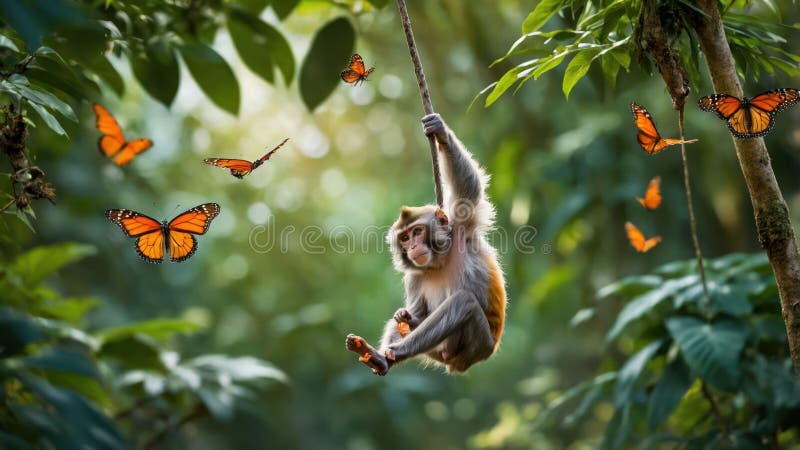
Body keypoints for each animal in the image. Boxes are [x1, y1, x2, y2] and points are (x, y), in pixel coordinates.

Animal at [345, 113, 506, 375]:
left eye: (417, 232)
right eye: (404, 238)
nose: (412, 247)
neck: (439, 261)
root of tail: (458, 365)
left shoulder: (462, 232)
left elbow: (468, 194)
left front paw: (441, 133)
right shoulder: (413, 277)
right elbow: (412, 312)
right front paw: (408, 318)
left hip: (477, 345)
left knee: (464, 303)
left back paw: (395, 351)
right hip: (438, 351)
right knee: (401, 320)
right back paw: (381, 356)